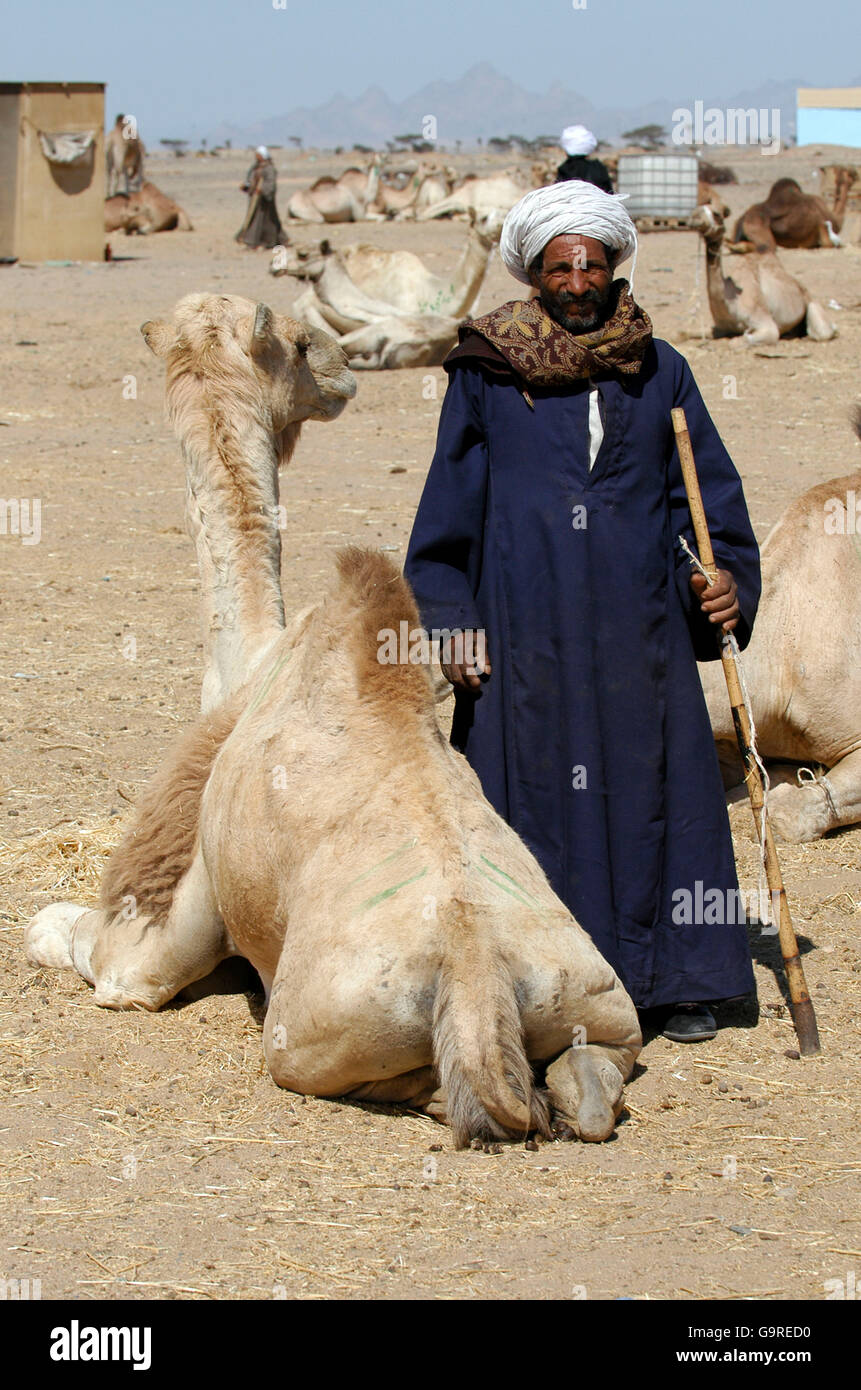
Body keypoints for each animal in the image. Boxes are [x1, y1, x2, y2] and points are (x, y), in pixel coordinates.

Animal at [25, 292, 641, 1148]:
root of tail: (479, 980)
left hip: (308, 1034)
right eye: (300, 342)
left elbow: (76, 940)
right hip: (596, 998)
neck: (255, 662)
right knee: (591, 1074)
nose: (347, 371)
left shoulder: (157, 942)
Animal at [690, 205, 836, 345]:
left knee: (824, 331)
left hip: (812, 305)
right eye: (697, 209)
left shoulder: (765, 323)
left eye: (717, 214)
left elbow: (738, 341)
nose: (693, 218)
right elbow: (686, 333)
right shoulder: (721, 327)